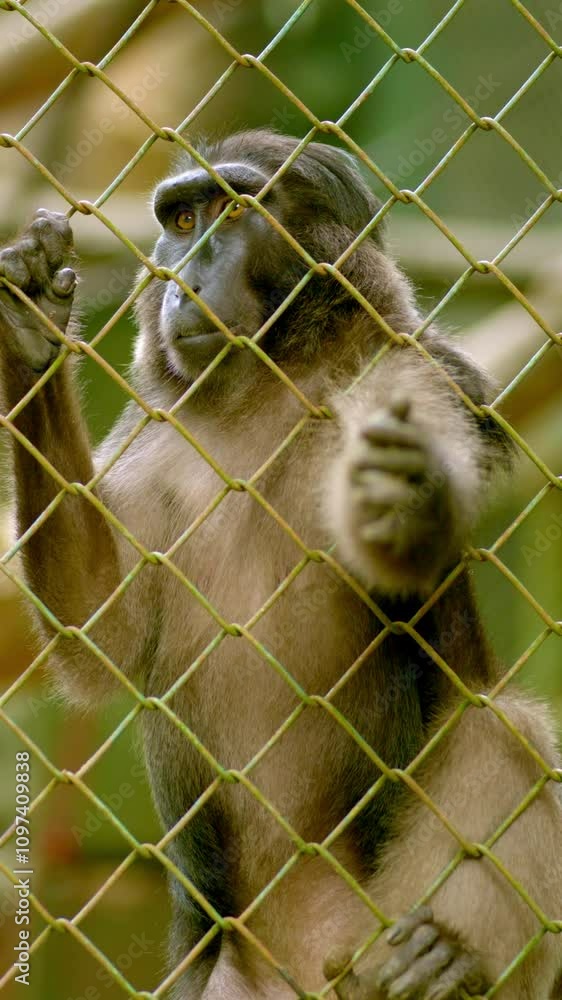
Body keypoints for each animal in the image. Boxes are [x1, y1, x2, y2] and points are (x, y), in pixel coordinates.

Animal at [0, 130, 561, 1000]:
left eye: (230, 213)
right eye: (182, 220)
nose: (184, 277)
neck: (266, 386)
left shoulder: (403, 372)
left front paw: (408, 500)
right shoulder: (161, 431)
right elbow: (102, 625)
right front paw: (30, 339)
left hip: (379, 912)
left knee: (500, 725)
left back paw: (443, 965)